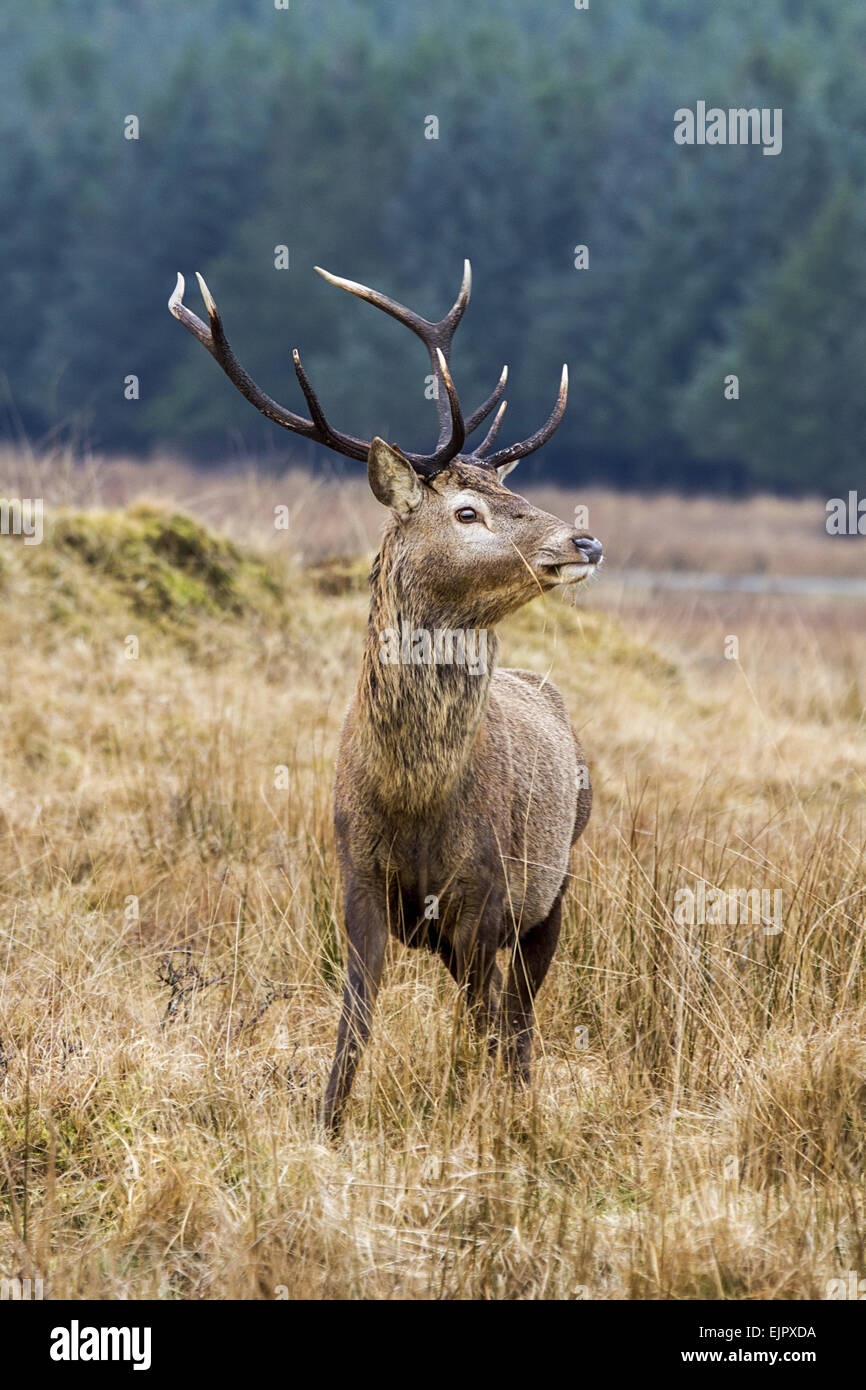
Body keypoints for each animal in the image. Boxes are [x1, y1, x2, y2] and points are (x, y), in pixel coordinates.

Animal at [169, 261, 603, 1133]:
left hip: (557, 884)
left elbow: (481, 1027)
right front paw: (328, 1124)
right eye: (467, 511)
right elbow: (355, 1023)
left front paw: (474, 1120)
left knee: (518, 1018)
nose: (585, 540)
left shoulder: (487, 899)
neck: (412, 798)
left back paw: (519, 1105)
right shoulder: (356, 882)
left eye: (514, 498)